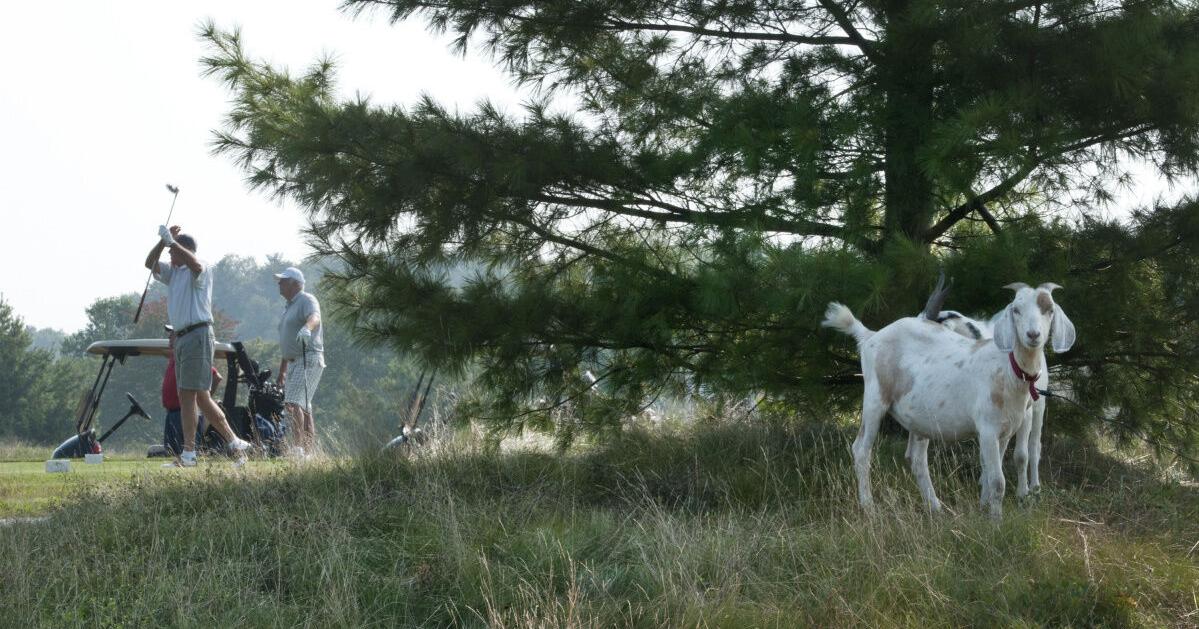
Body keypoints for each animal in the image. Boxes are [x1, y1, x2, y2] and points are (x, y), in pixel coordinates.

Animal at [823, 283, 1075, 517]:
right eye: (1016, 310)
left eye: (1050, 310)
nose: (1033, 335)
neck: (1007, 368)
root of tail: (870, 336)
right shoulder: (988, 428)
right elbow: (998, 481)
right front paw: (996, 522)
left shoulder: (1005, 430)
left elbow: (997, 467)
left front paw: (985, 506)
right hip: (875, 399)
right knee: (861, 450)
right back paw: (869, 508)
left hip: (919, 416)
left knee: (916, 459)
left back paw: (936, 507)